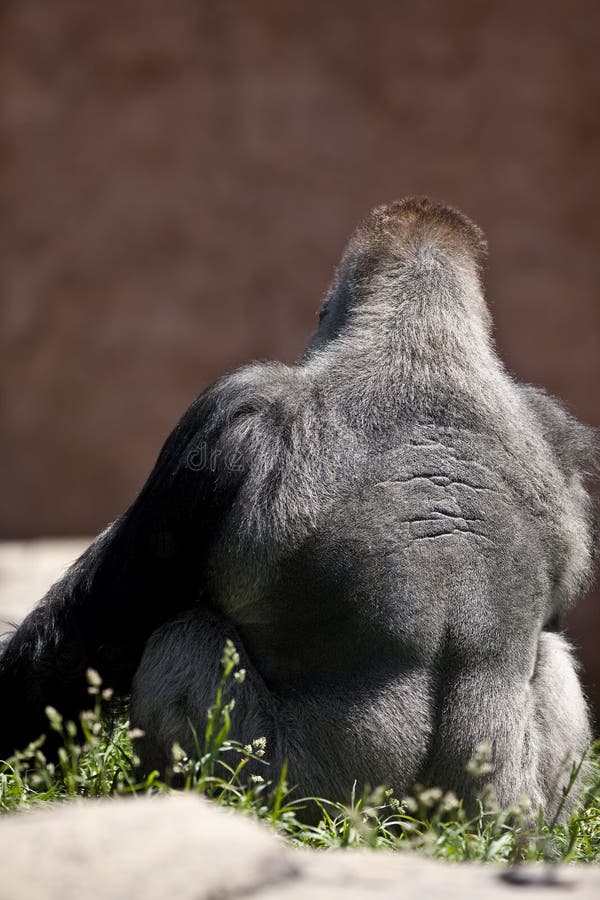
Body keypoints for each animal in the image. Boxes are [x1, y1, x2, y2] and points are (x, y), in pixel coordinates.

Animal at [0, 197, 596, 817]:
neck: (423, 344)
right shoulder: (561, 430)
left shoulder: (232, 411)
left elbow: (85, 637)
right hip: (505, 805)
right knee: (553, 655)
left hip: (297, 797)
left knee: (182, 639)